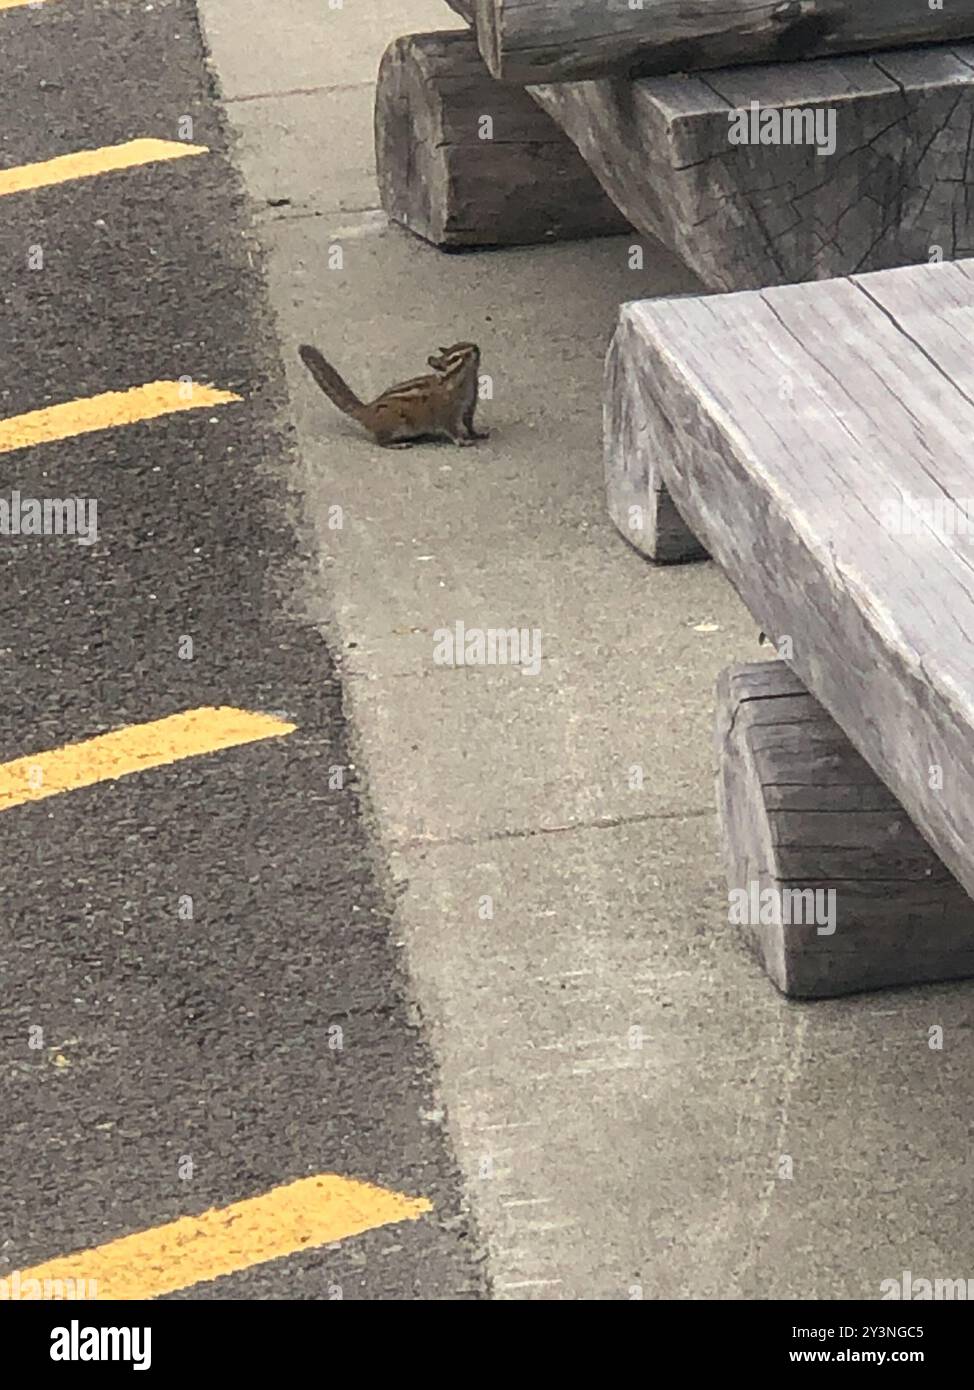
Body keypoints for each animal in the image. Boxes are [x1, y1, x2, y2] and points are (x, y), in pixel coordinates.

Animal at [298, 341, 488, 448]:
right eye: (456, 357)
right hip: (395, 423)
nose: (477, 348)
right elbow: (452, 429)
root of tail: (367, 412)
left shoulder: (469, 407)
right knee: (380, 441)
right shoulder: (447, 412)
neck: (463, 381)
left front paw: (476, 434)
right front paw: (463, 441)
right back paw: (398, 445)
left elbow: (469, 424)